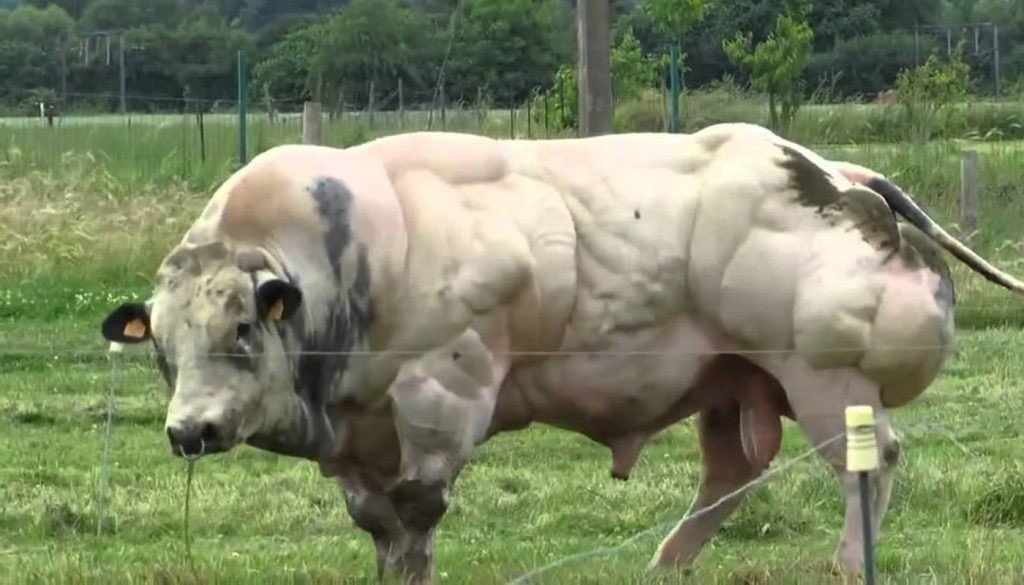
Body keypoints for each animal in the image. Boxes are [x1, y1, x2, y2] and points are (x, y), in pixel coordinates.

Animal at [99, 123, 1024, 583]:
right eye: (164, 348)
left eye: (241, 330)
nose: (189, 430)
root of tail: (834, 169)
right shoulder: (354, 434)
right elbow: (375, 517)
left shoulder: (446, 389)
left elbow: (417, 509)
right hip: (732, 380)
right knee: (731, 474)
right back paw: (666, 564)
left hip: (826, 375)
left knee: (868, 462)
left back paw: (846, 562)